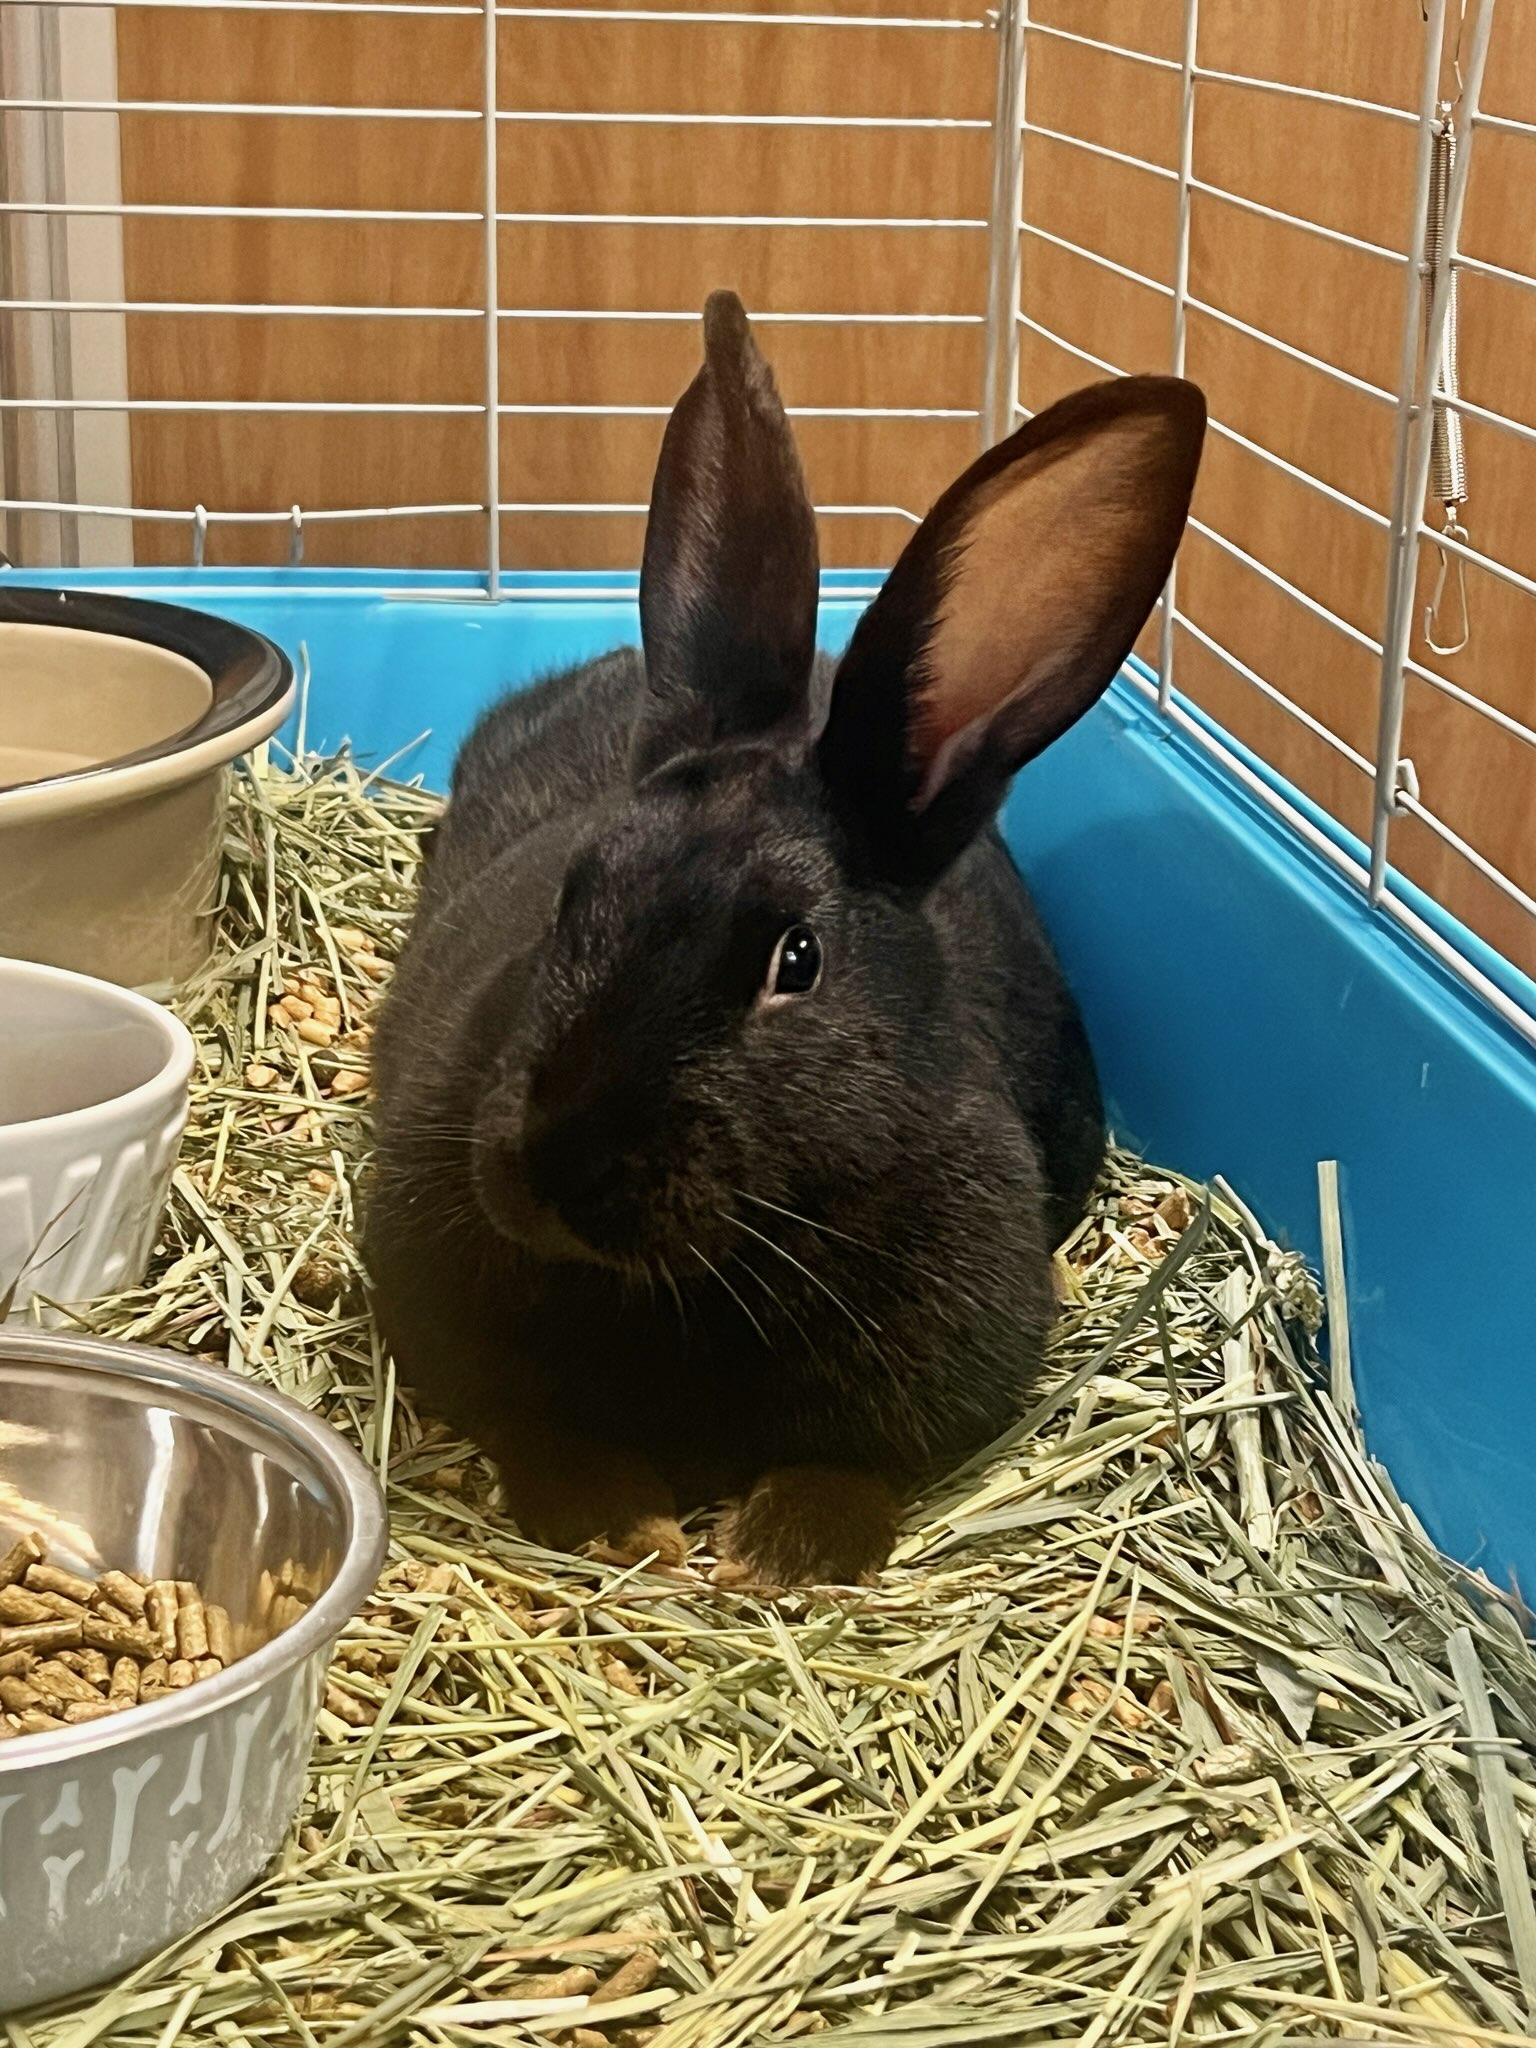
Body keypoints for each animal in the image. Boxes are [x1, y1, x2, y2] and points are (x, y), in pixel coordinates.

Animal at [365, 290, 1205, 1589]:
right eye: (572, 894)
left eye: (796, 961)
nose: (561, 1163)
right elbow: (534, 1427)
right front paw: (630, 1520)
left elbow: (856, 1465)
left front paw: (784, 1550)